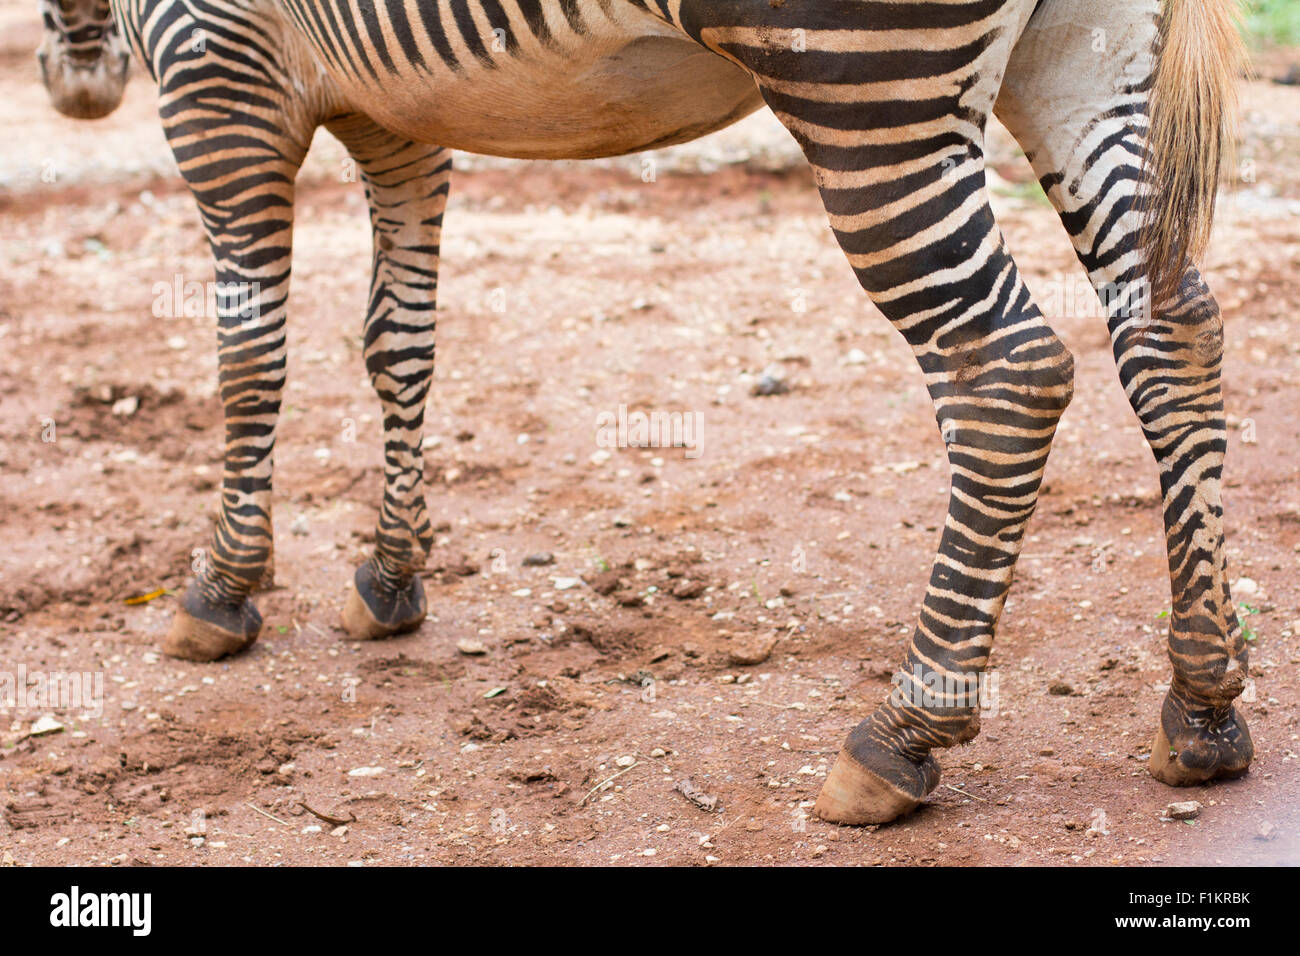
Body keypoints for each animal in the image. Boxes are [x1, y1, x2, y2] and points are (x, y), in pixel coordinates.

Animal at [36, 0, 1253, 826]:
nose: (71, 82)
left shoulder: (217, 78)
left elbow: (249, 359)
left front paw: (222, 589)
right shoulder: (398, 121)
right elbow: (399, 345)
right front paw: (389, 577)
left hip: (868, 80)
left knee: (1003, 368)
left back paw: (904, 732)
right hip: (1080, 56)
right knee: (1172, 326)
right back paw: (1201, 703)